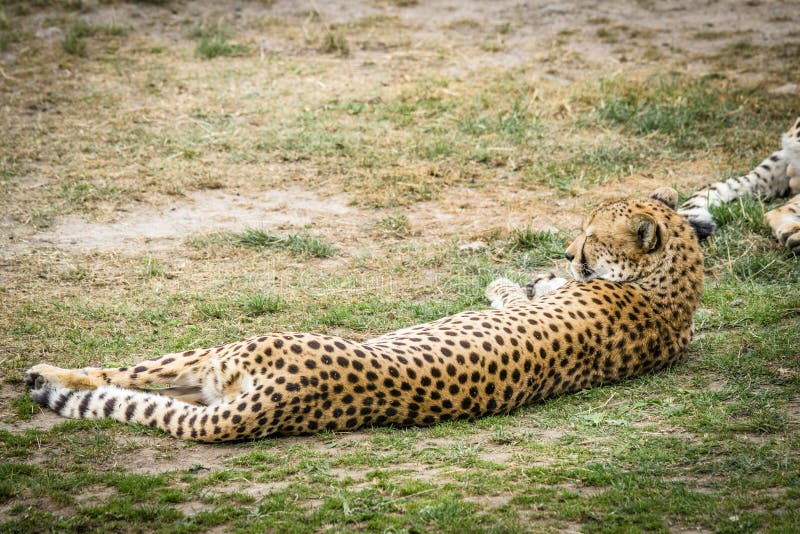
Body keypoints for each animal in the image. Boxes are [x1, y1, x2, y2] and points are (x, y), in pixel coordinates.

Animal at [24, 188, 704, 442]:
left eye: (591, 235)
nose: (567, 250)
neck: (670, 292)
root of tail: (286, 399)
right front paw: (530, 275)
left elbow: (518, 295)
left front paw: (514, 279)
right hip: (209, 387)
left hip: (217, 356)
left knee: (117, 375)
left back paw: (43, 375)